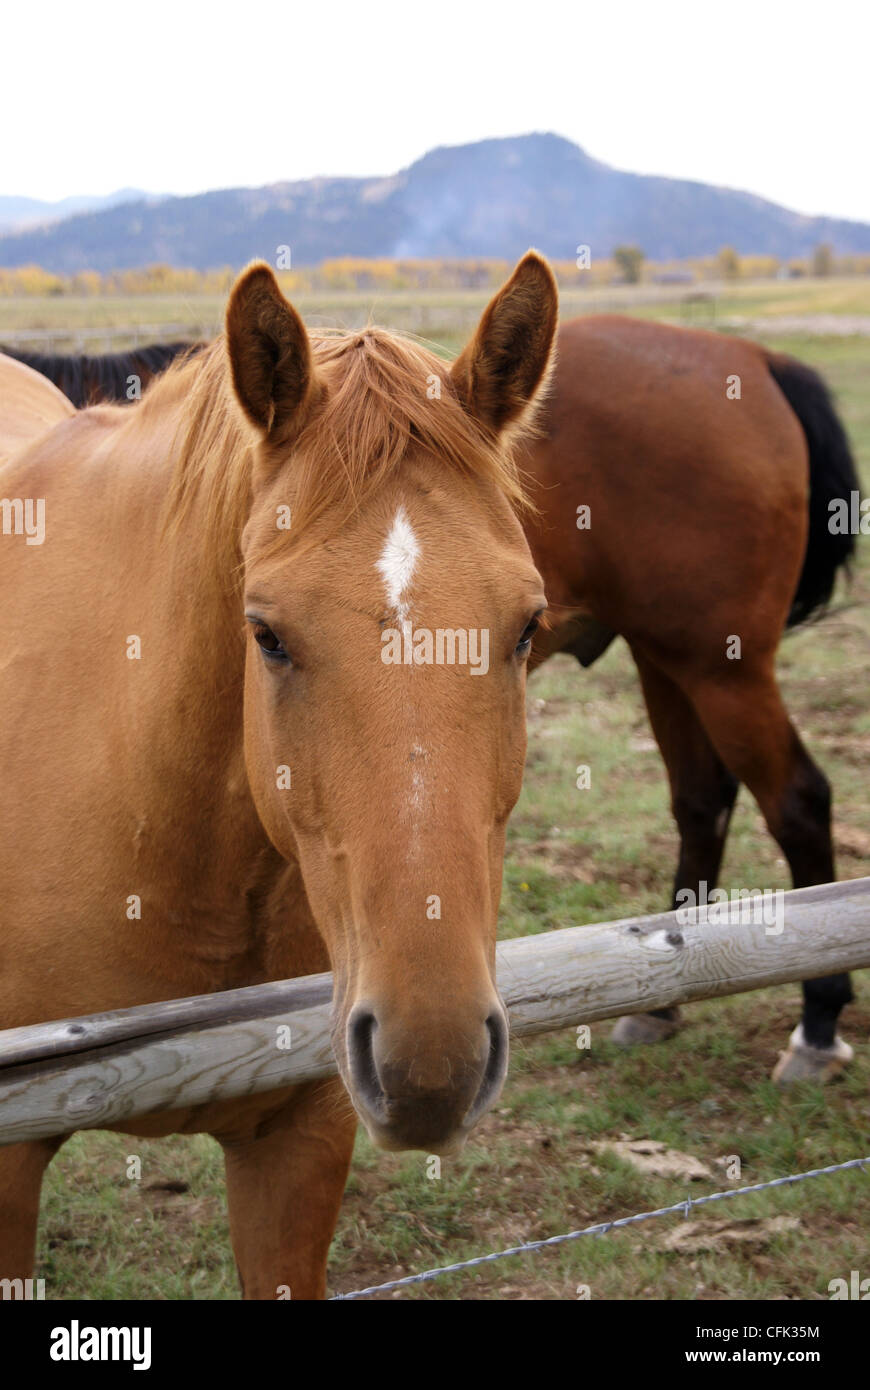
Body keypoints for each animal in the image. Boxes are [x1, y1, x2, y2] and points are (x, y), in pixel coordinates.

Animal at [523, 314, 861, 1081]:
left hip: (721, 674)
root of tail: (752, 357)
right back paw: (660, 1002)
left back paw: (819, 1020)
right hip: (667, 664)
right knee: (704, 801)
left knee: (797, 801)